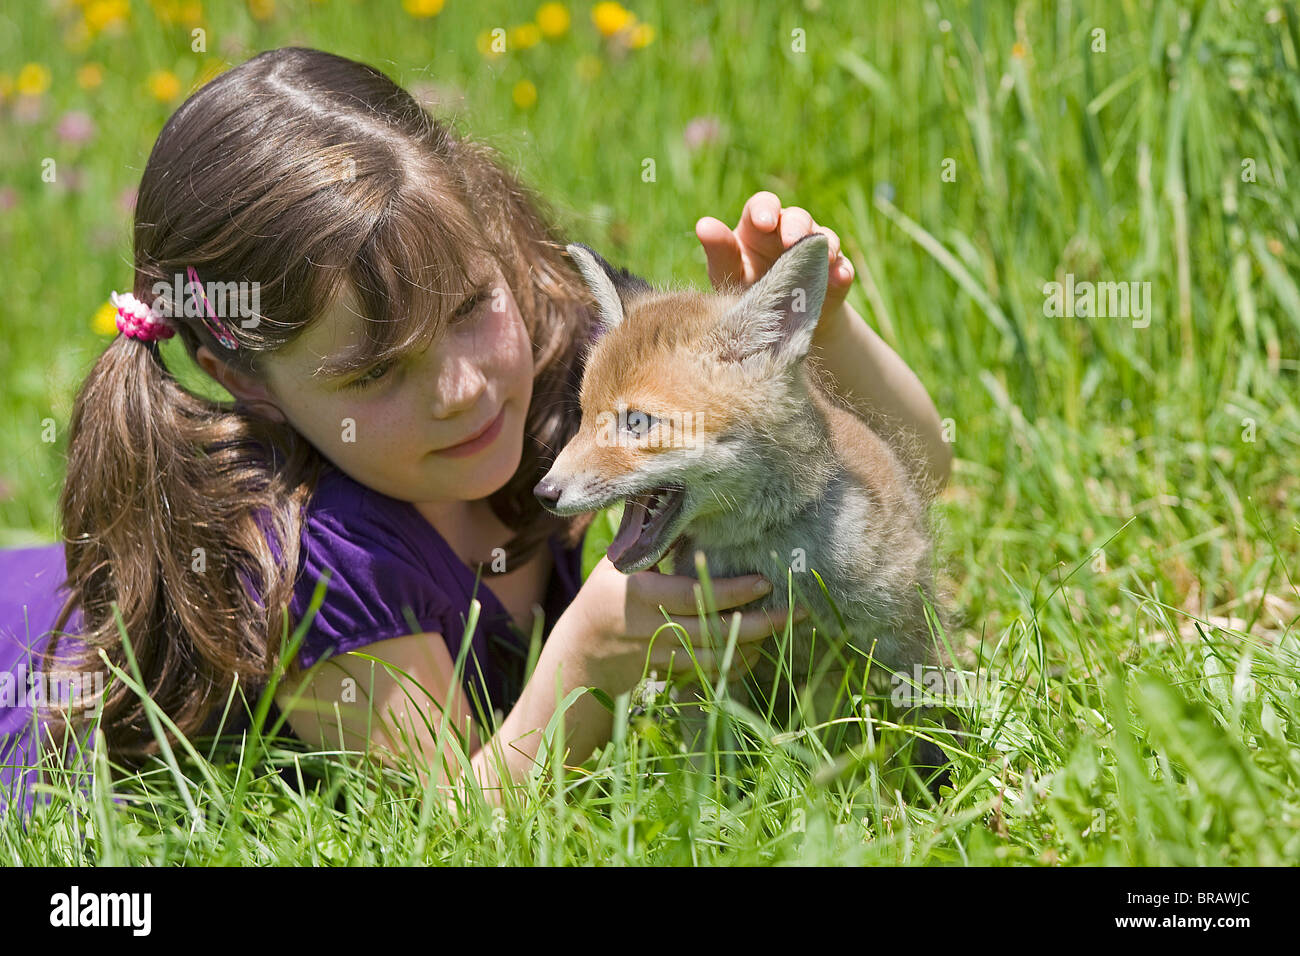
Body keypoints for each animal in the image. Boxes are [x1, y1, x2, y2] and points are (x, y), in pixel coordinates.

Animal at [534, 233, 945, 749]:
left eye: (637, 422)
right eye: (584, 415)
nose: (543, 492)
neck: (769, 554)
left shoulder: (910, 633)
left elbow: (938, 731)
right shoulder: (707, 670)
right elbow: (707, 759)